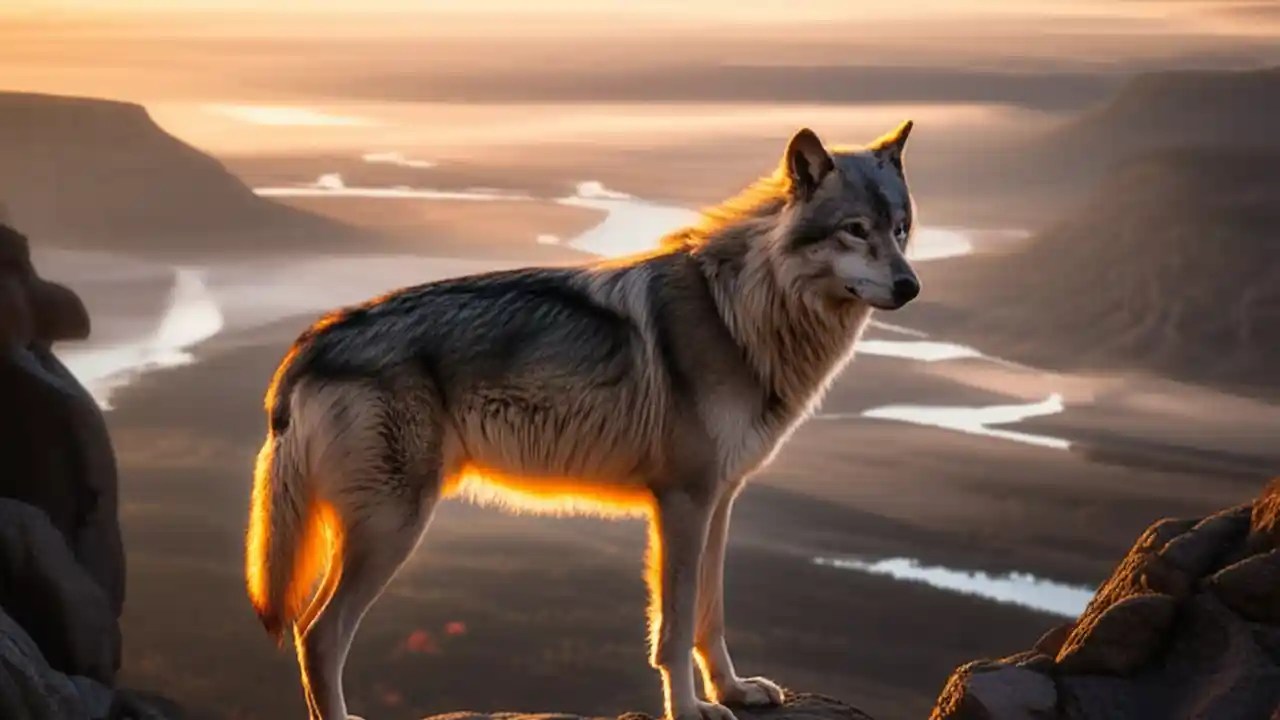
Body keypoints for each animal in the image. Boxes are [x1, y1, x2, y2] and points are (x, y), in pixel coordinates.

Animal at [245, 123, 921, 720]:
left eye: (901, 230)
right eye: (855, 230)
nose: (911, 286)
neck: (741, 312)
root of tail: (308, 344)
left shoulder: (720, 501)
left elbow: (712, 615)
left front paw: (732, 692)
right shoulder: (682, 502)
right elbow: (676, 627)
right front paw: (690, 709)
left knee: (311, 630)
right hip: (392, 529)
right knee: (318, 634)